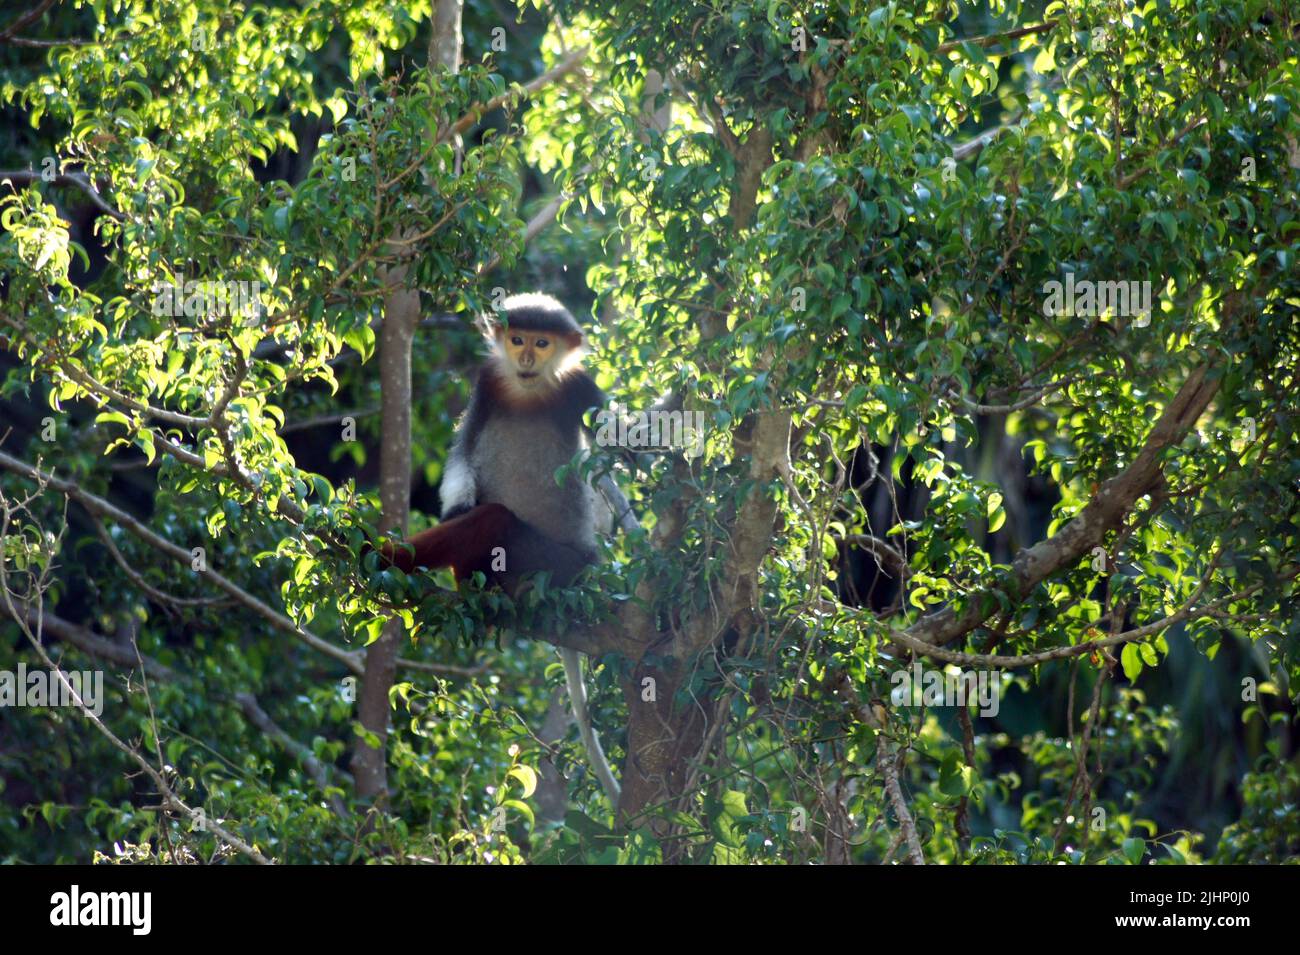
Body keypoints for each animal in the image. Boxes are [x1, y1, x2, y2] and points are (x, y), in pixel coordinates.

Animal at [371, 292, 621, 805]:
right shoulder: (488, 383)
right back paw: (477, 591)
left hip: (554, 564)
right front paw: (453, 509)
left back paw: (385, 559)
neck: (529, 390)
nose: (525, 359)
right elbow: (464, 453)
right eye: (518, 339)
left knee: (496, 520)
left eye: (542, 344)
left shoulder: (581, 388)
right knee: (480, 520)